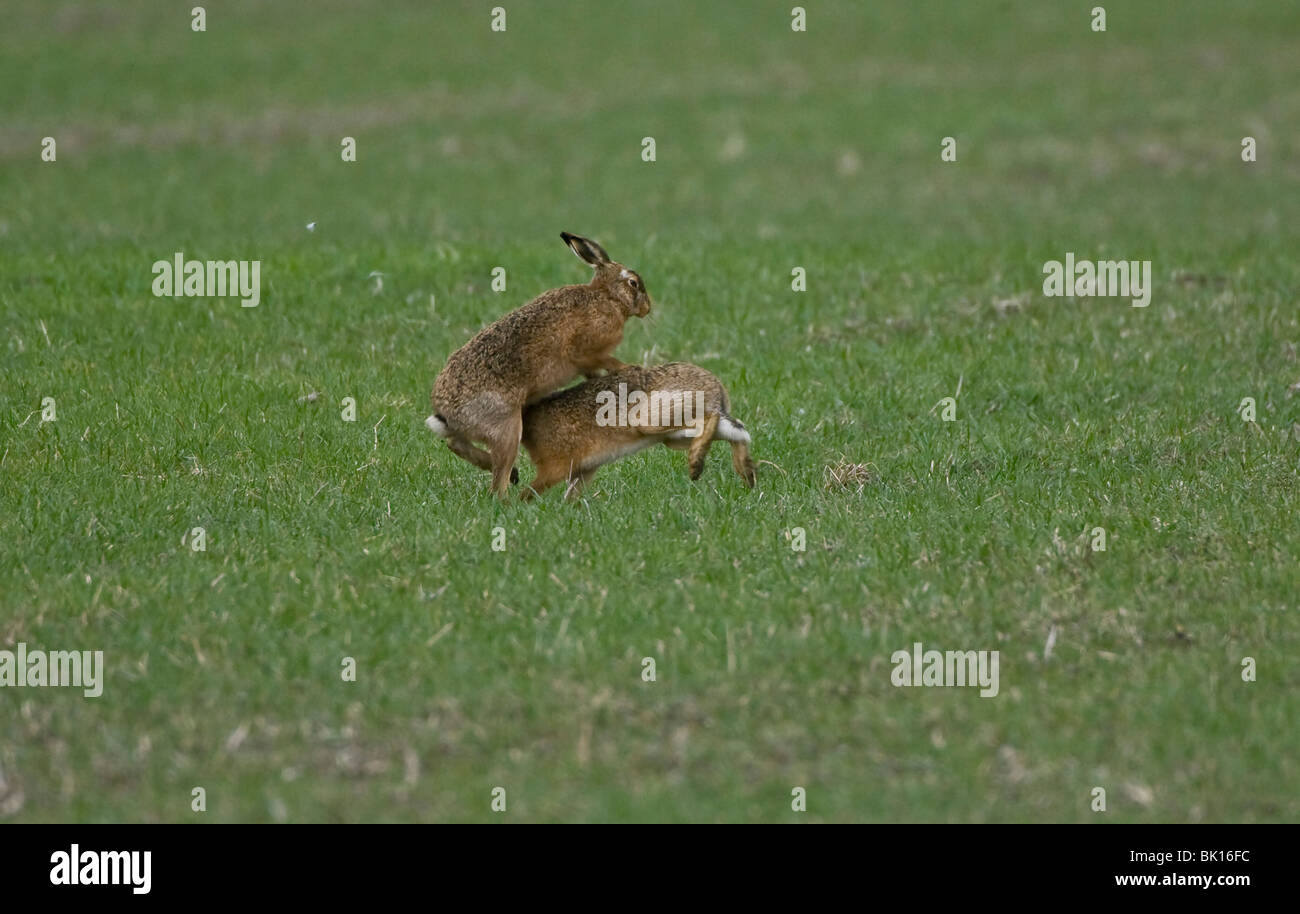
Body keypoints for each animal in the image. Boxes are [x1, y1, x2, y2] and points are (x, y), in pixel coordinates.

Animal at [426, 232, 651, 498]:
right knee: (496, 480)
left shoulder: (587, 364)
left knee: (456, 444)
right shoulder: (586, 350)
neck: (607, 297)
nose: (648, 308)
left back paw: (511, 475)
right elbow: (607, 361)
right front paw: (629, 369)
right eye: (633, 283)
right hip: (507, 428)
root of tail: (446, 410)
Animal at [519, 362, 756, 500]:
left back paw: (696, 466)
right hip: (674, 435)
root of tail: (715, 387)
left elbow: (534, 488)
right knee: (738, 430)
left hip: (653, 418)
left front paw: (518, 505)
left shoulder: (555, 466)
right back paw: (747, 474)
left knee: (712, 420)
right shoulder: (583, 469)